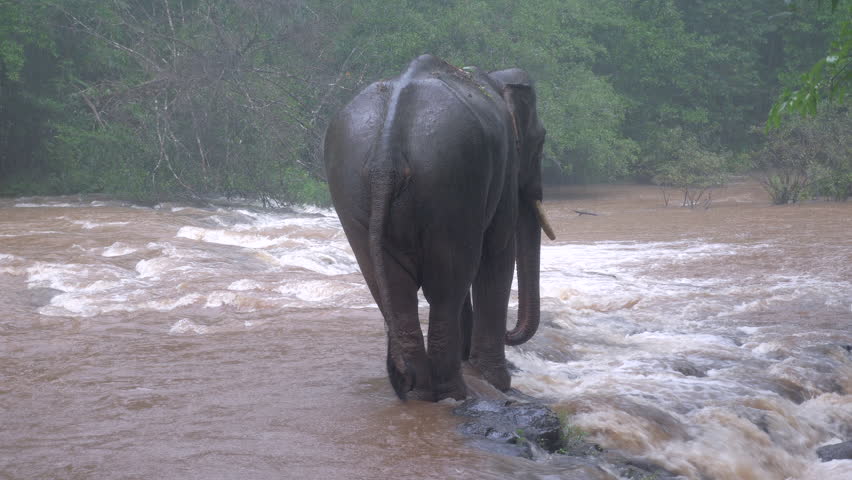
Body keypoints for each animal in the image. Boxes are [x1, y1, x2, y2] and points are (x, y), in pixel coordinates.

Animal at [323, 54, 555, 402]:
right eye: (540, 142)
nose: (511, 333)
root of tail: (387, 150)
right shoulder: (503, 169)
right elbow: (498, 249)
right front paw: (498, 381)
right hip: (452, 179)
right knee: (448, 281)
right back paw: (454, 392)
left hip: (352, 188)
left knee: (392, 284)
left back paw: (417, 389)